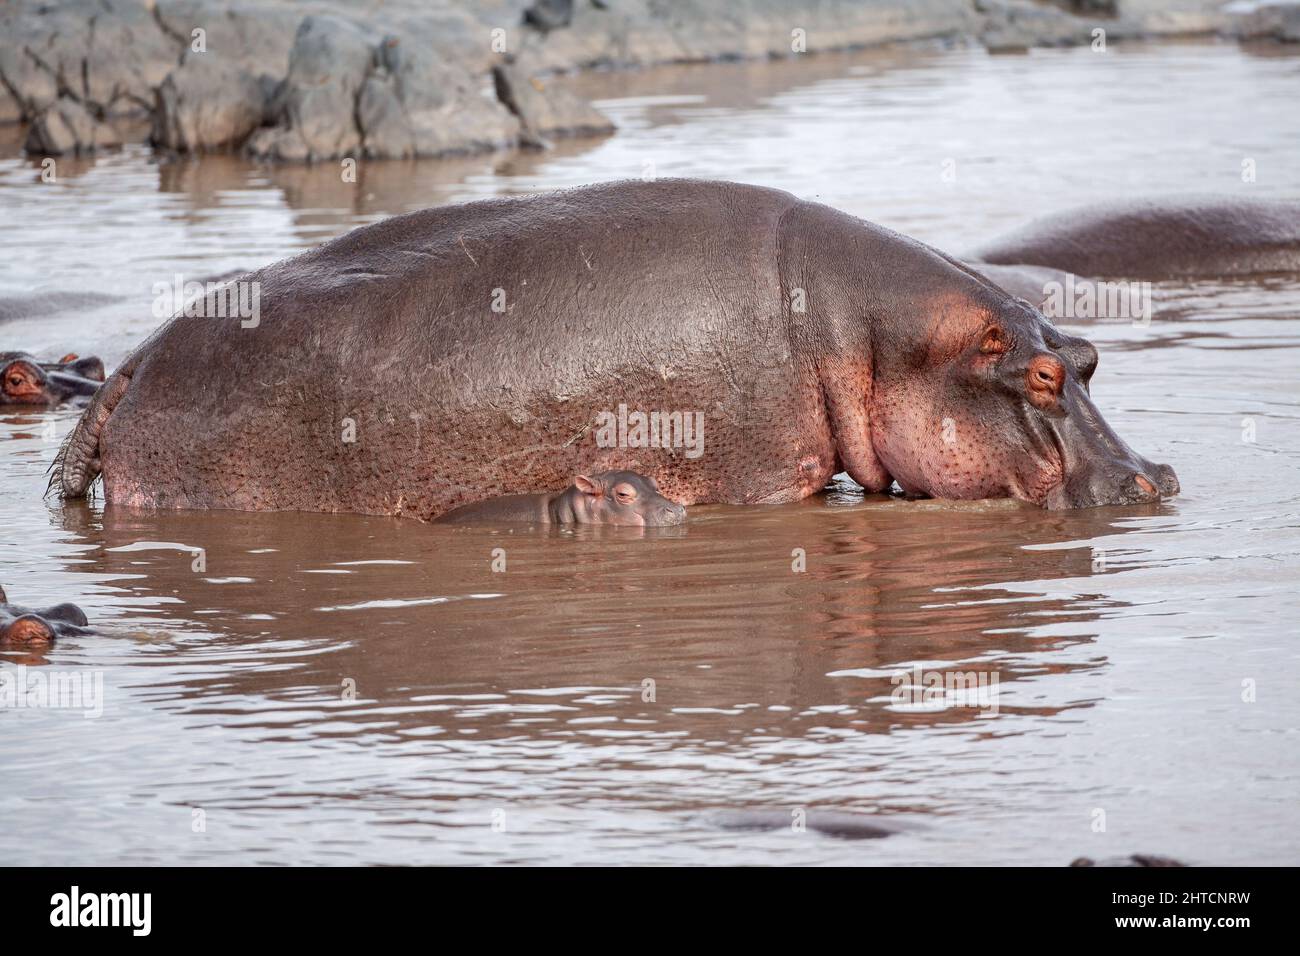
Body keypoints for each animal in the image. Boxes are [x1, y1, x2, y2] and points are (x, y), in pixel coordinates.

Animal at [54, 179, 1178, 514]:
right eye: (1040, 373)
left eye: (1088, 358)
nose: (1154, 477)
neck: (868, 335)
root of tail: (134, 365)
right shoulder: (761, 468)